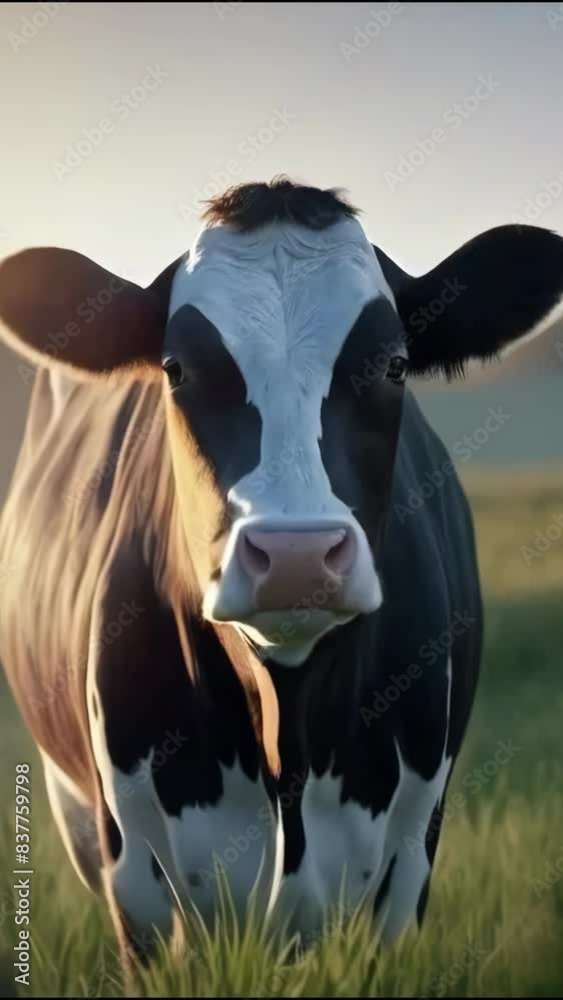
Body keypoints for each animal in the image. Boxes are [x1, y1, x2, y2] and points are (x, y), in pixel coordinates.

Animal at [1, 179, 562, 976]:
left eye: (393, 365)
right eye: (175, 369)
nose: (297, 554)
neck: (286, 733)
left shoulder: (408, 858)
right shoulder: (133, 873)